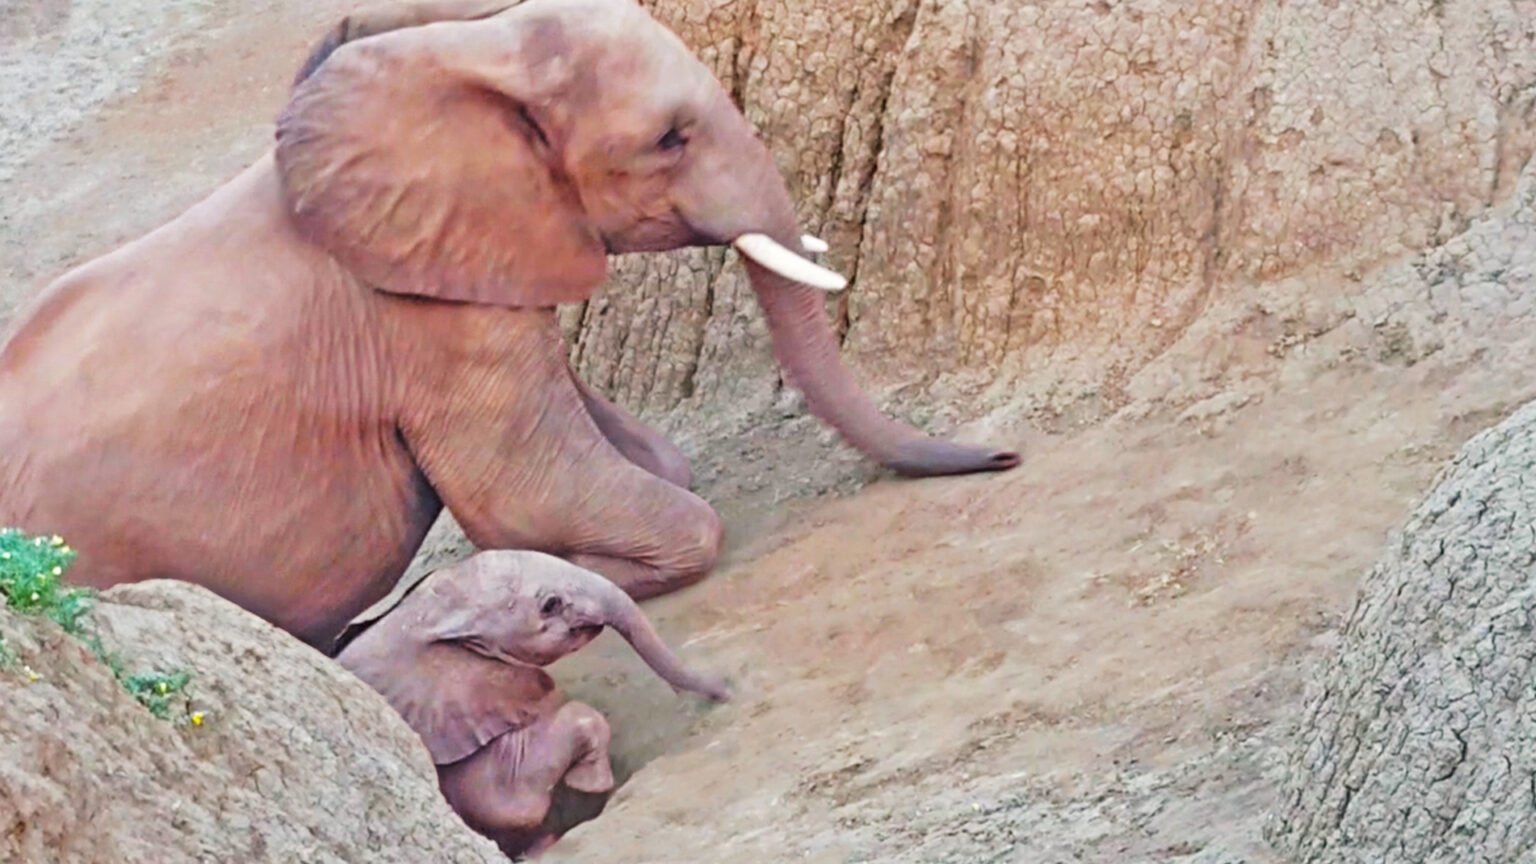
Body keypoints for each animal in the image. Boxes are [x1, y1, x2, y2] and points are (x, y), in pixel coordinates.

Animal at [0, 0, 1019, 650]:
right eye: (668, 140)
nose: (1007, 457)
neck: (462, 53)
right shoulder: (422, 319)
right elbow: (544, 495)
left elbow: (650, 465)